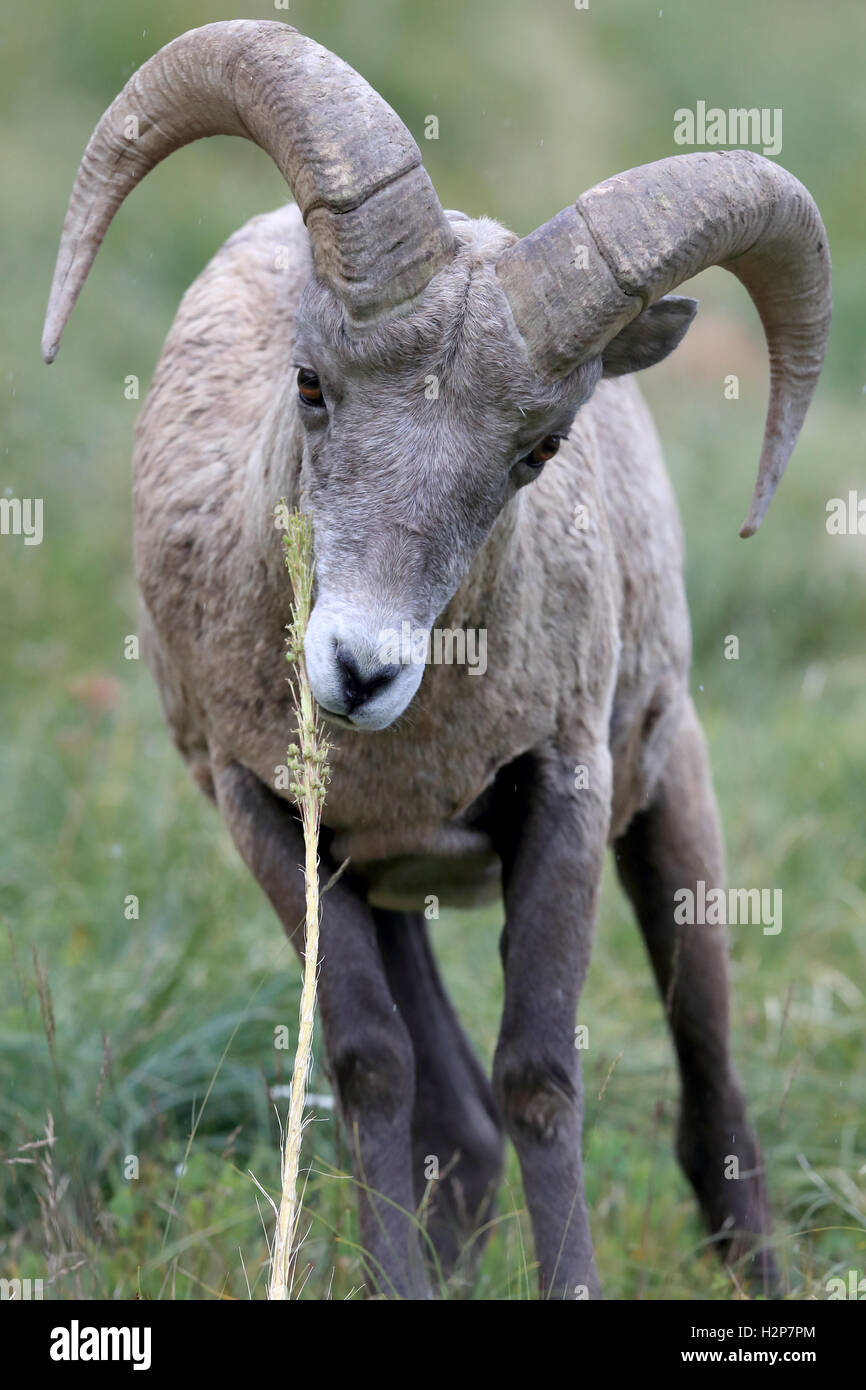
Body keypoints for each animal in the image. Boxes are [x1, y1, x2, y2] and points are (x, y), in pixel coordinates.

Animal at [43, 20, 831, 1299]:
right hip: (394, 885)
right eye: (311, 380)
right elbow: (377, 1072)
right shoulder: (278, 825)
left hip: (668, 805)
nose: (359, 672)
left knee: (710, 1101)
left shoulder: (563, 796)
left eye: (538, 448)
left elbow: (539, 1077)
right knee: (453, 1125)